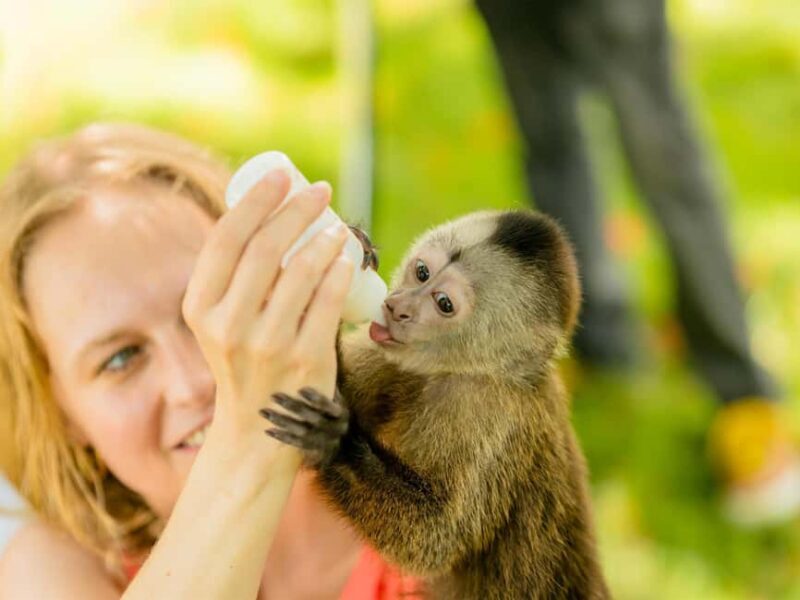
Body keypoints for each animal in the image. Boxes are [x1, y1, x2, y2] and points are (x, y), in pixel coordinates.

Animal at [261, 210, 610, 599]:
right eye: (422, 272)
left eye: (444, 304)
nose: (397, 308)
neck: (462, 369)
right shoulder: (384, 354)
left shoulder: (485, 412)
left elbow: (430, 538)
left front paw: (333, 441)